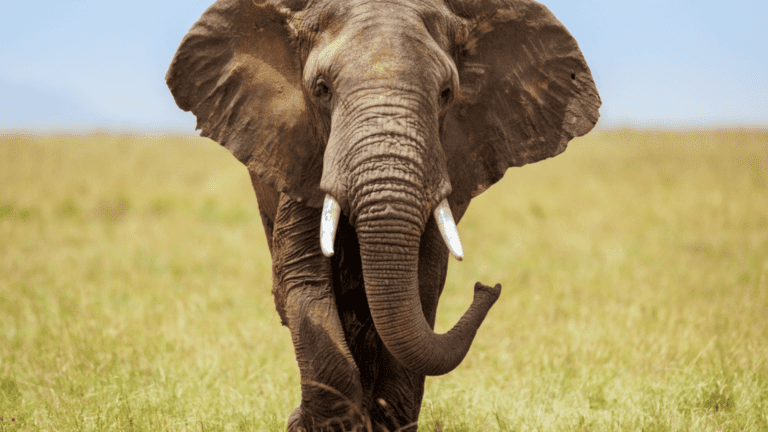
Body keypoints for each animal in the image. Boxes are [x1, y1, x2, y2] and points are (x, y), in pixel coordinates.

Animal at [166, 0, 600, 429]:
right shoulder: (300, 150)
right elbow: (304, 279)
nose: (487, 287)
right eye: (322, 90)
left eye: (446, 93)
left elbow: (422, 284)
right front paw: (318, 425)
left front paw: (383, 423)